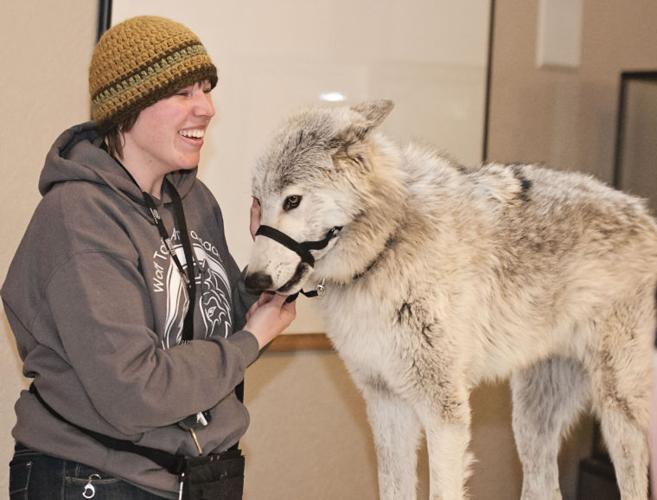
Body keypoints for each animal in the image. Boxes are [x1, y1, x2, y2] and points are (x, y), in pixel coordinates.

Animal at [245, 100, 657, 500]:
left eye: (292, 200)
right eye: (258, 202)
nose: (252, 280)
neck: (387, 246)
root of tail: (644, 214)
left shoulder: (444, 413)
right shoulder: (386, 404)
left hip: (619, 410)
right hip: (531, 420)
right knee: (546, 487)